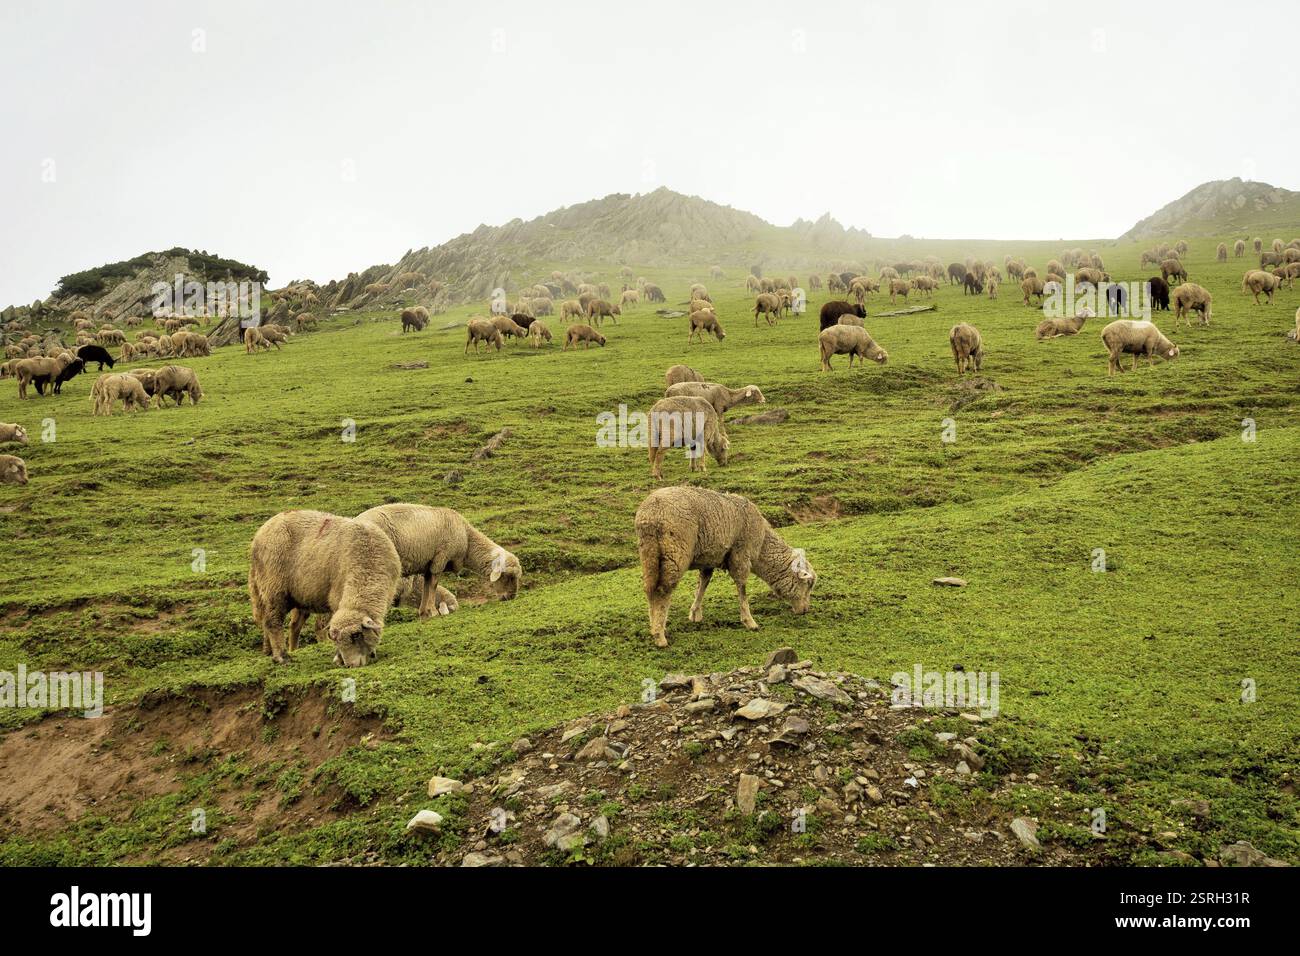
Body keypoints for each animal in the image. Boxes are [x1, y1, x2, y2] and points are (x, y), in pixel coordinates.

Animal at [248, 510, 402, 666]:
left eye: (356, 635)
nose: (350, 665)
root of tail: (260, 534)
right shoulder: (336, 597)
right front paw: (338, 658)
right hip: (274, 588)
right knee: (272, 621)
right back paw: (281, 656)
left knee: (282, 623)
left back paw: (270, 651)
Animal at [353, 504, 521, 619]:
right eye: (508, 576)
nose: (511, 597)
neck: (467, 539)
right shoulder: (441, 557)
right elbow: (433, 584)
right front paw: (433, 611)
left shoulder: (428, 563)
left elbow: (427, 586)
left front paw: (424, 612)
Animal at [634, 486, 815, 647]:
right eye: (808, 584)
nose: (805, 610)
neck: (762, 545)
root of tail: (652, 513)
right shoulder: (741, 553)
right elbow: (742, 587)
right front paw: (749, 622)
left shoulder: (709, 558)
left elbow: (703, 584)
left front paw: (695, 613)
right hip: (675, 553)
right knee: (663, 591)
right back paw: (659, 635)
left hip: (648, 554)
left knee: (649, 590)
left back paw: (655, 625)